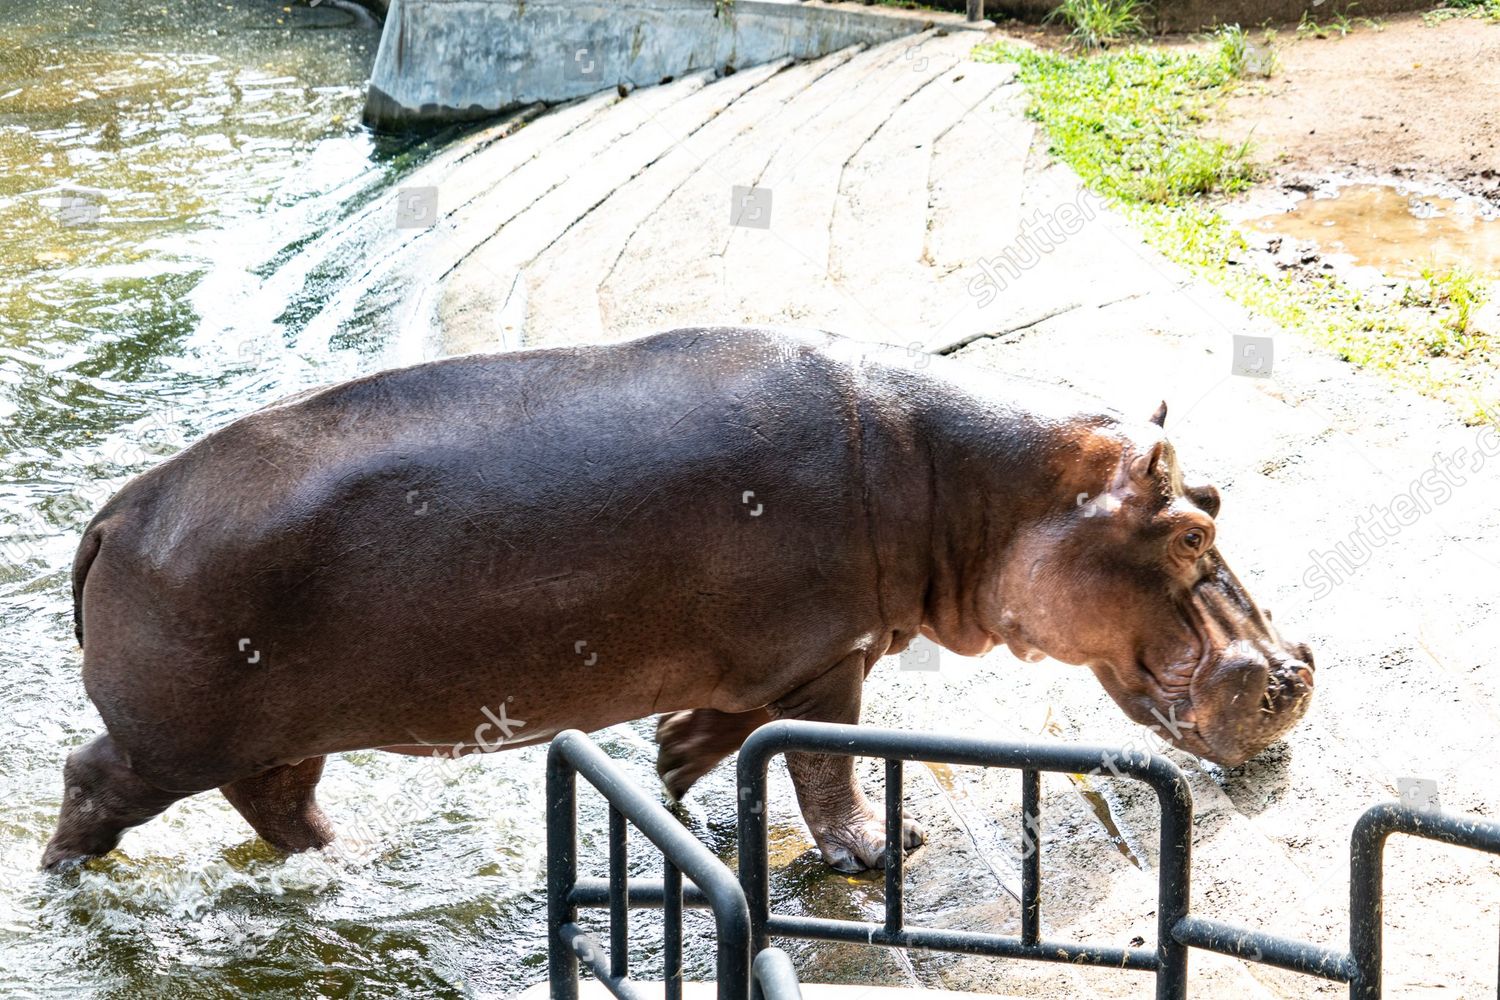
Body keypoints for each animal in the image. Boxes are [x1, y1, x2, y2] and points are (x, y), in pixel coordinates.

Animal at [43, 327, 1314, 873]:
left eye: (1214, 496)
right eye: (1192, 528)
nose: (1300, 669)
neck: (972, 488)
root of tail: (117, 510)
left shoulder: (782, 660)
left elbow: (719, 730)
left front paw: (673, 770)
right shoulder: (833, 659)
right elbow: (825, 762)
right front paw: (877, 849)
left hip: (277, 729)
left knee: (278, 798)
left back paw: (336, 863)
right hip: (170, 735)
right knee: (92, 778)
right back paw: (66, 881)